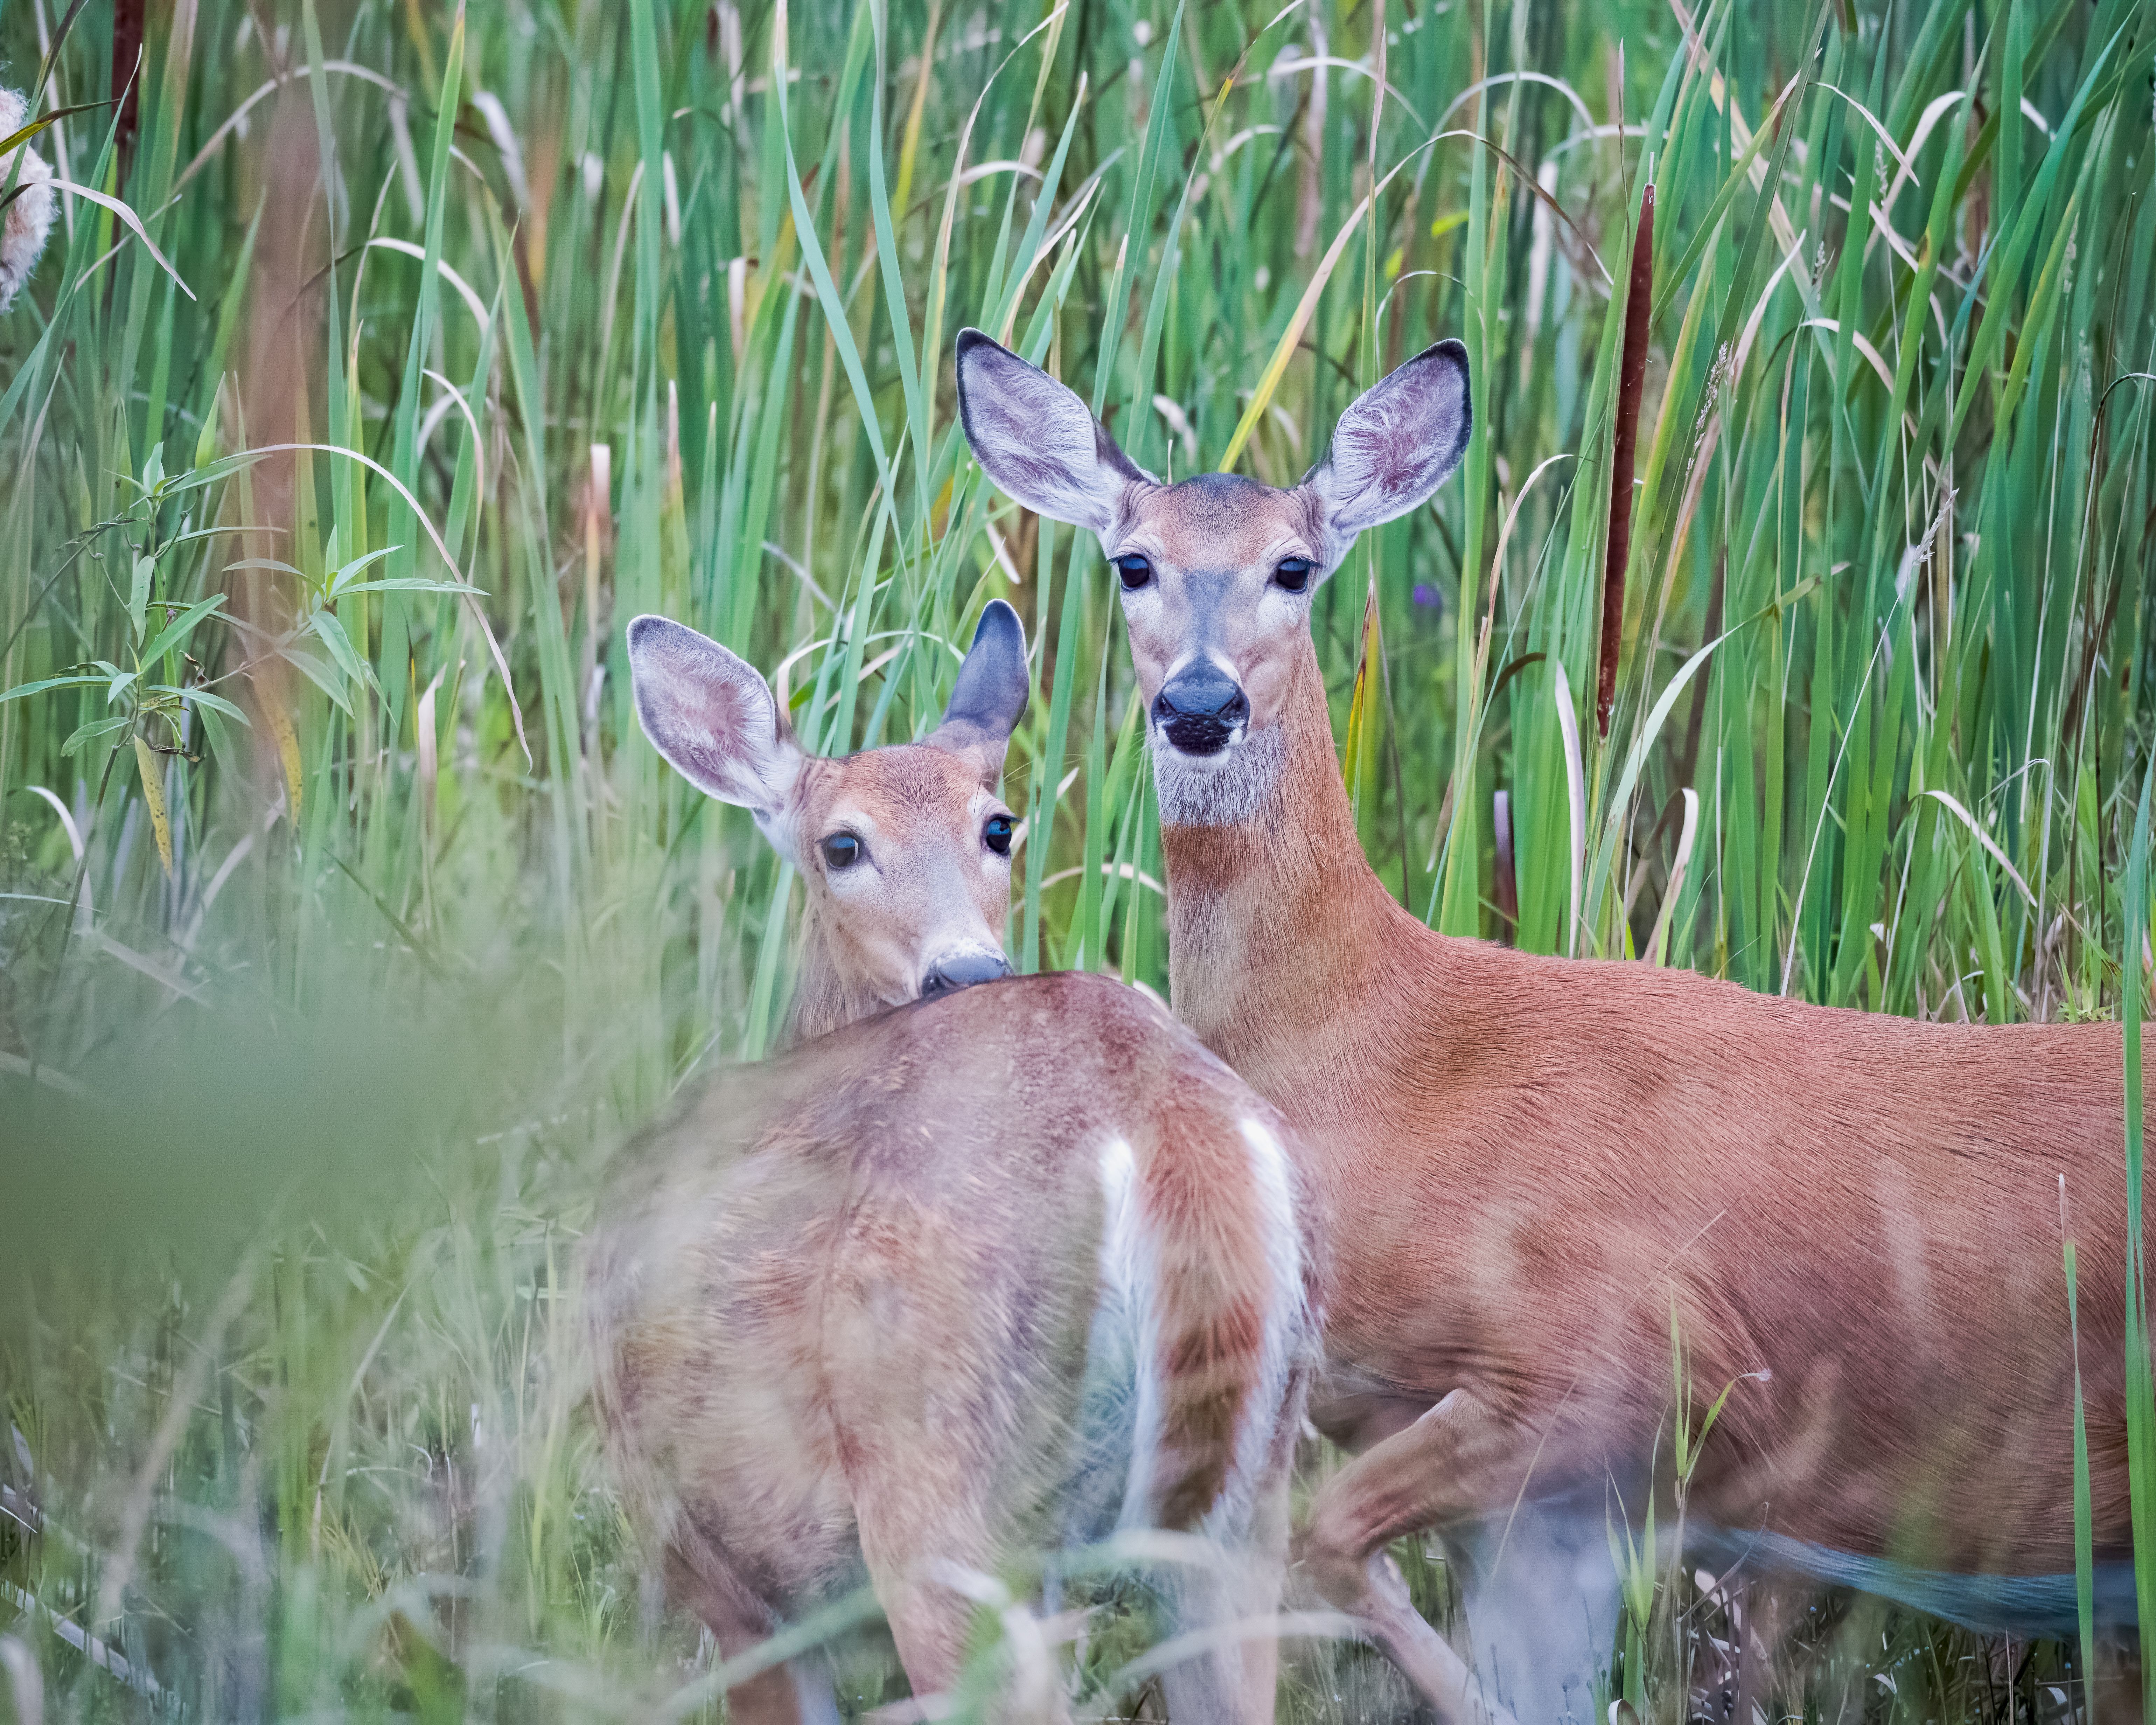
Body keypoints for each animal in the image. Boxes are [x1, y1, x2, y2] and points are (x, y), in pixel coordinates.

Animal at [584, 603, 1322, 1725]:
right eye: (842, 843)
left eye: (996, 826)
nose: (966, 967)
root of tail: (1162, 1119)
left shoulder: (716, 1569)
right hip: (1242, 1501)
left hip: (937, 1484)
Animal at [955, 326, 2145, 1724]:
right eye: (1130, 560)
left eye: (1294, 566)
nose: (1200, 704)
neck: (1369, 1049)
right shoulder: (1544, 1496)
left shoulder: (1622, 1369)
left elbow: (1330, 1544)